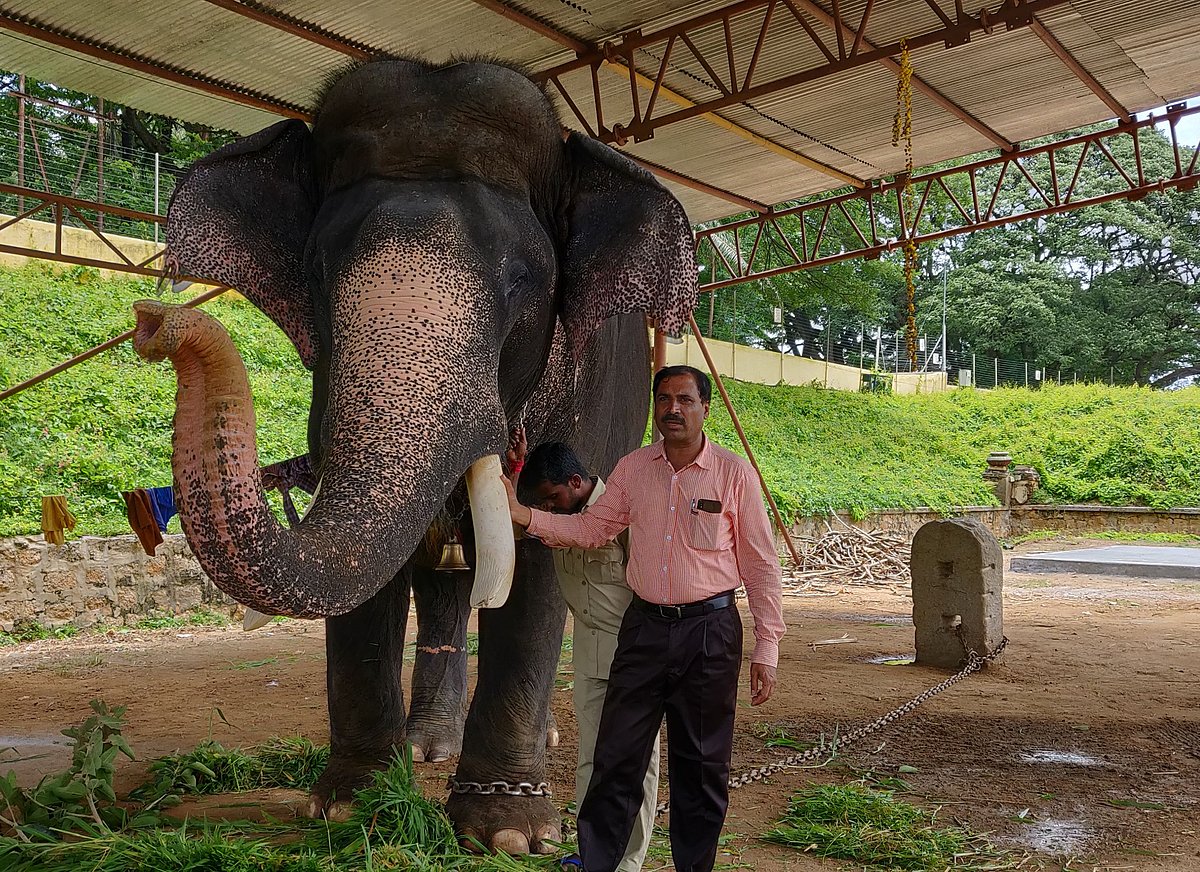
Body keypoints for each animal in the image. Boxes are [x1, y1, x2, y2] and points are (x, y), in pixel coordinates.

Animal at [130, 56, 698, 852]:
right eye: (315, 273)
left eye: (526, 285)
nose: (155, 320)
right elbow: (369, 578)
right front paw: (350, 806)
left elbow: (541, 570)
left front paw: (509, 835)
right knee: (444, 587)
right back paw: (432, 745)